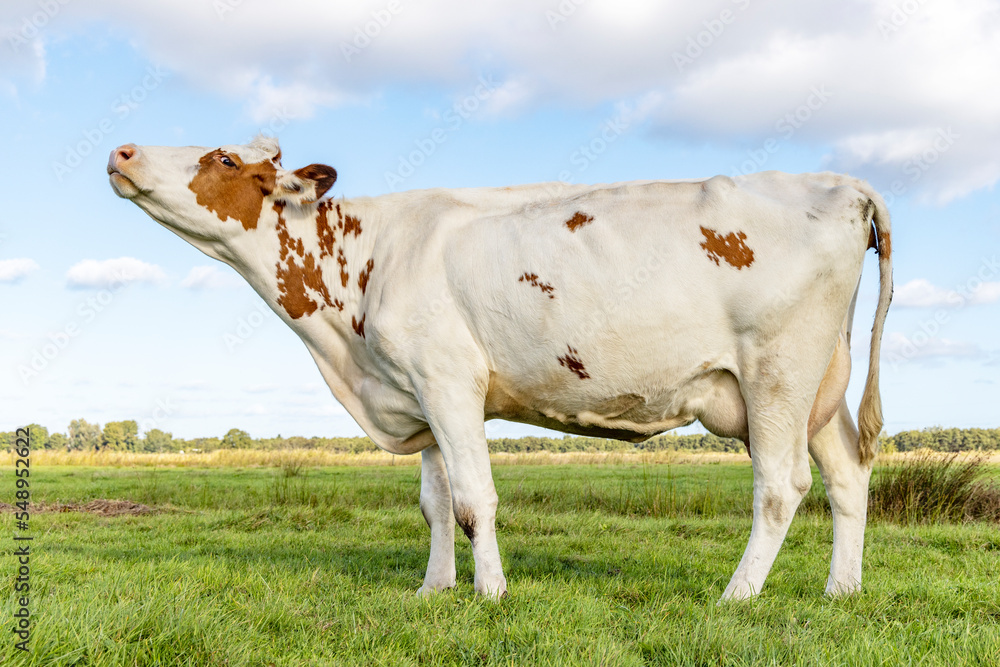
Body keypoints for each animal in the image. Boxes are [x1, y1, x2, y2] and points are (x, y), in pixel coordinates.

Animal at [108, 135, 892, 601]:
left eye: (222, 160)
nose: (122, 151)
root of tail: (842, 183)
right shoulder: (419, 391)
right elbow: (434, 503)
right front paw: (434, 589)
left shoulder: (450, 379)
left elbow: (473, 501)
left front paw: (489, 593)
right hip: (821, 383)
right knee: (847, 476)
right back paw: (842, 590)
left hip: (777, 374)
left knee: (781, 487)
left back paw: (737, 596)